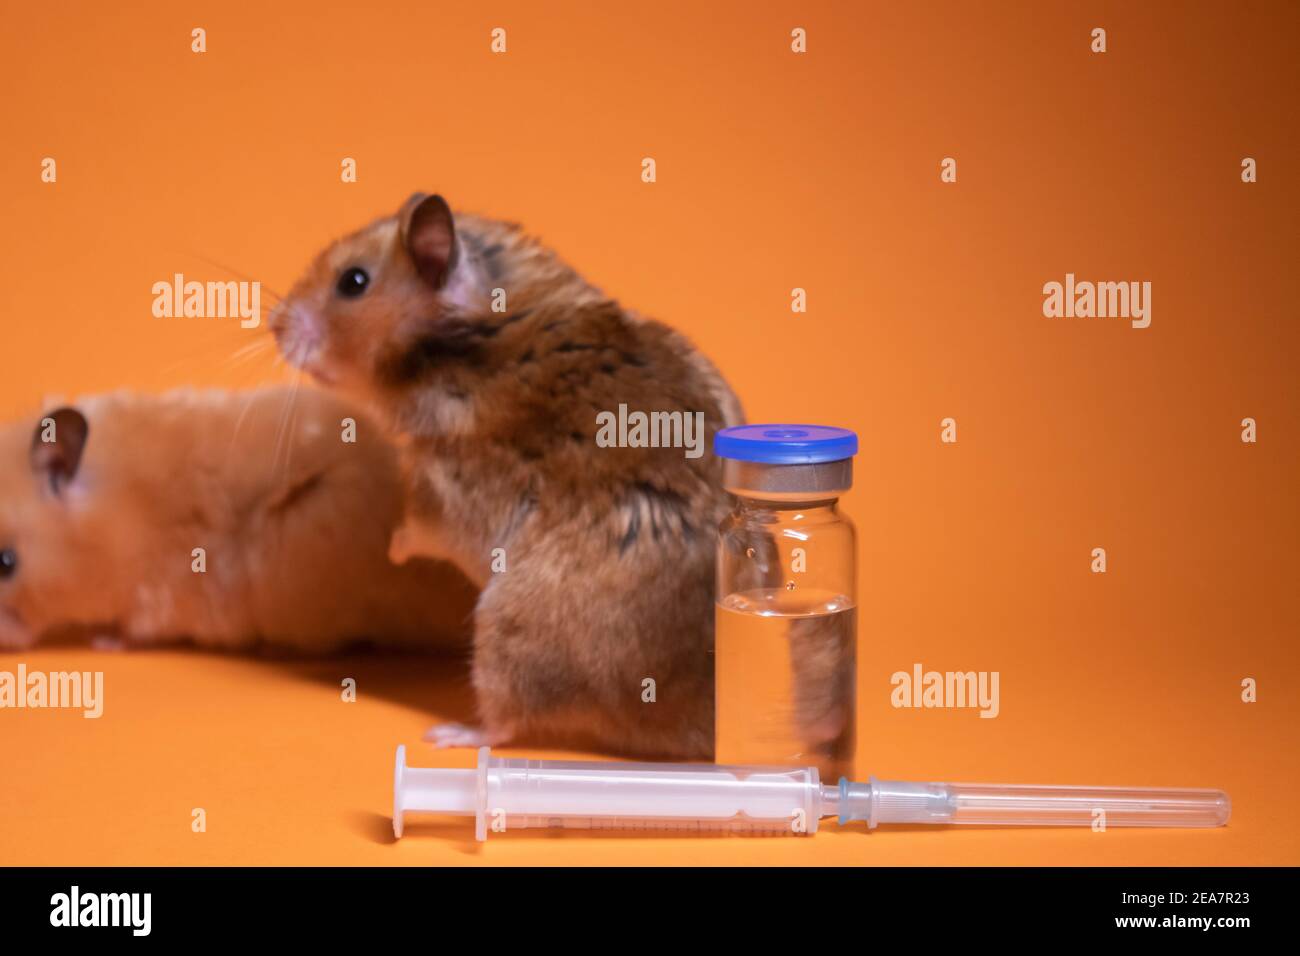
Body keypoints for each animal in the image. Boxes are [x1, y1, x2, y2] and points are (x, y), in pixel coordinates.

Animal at [270, 194, 744, 758]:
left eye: (353, 282)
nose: (272, 324)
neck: (470, 341)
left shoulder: (444, 490)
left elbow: (418, 528)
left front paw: (392, 548)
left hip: (506, 627)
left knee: (505, 722)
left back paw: (449, 734)